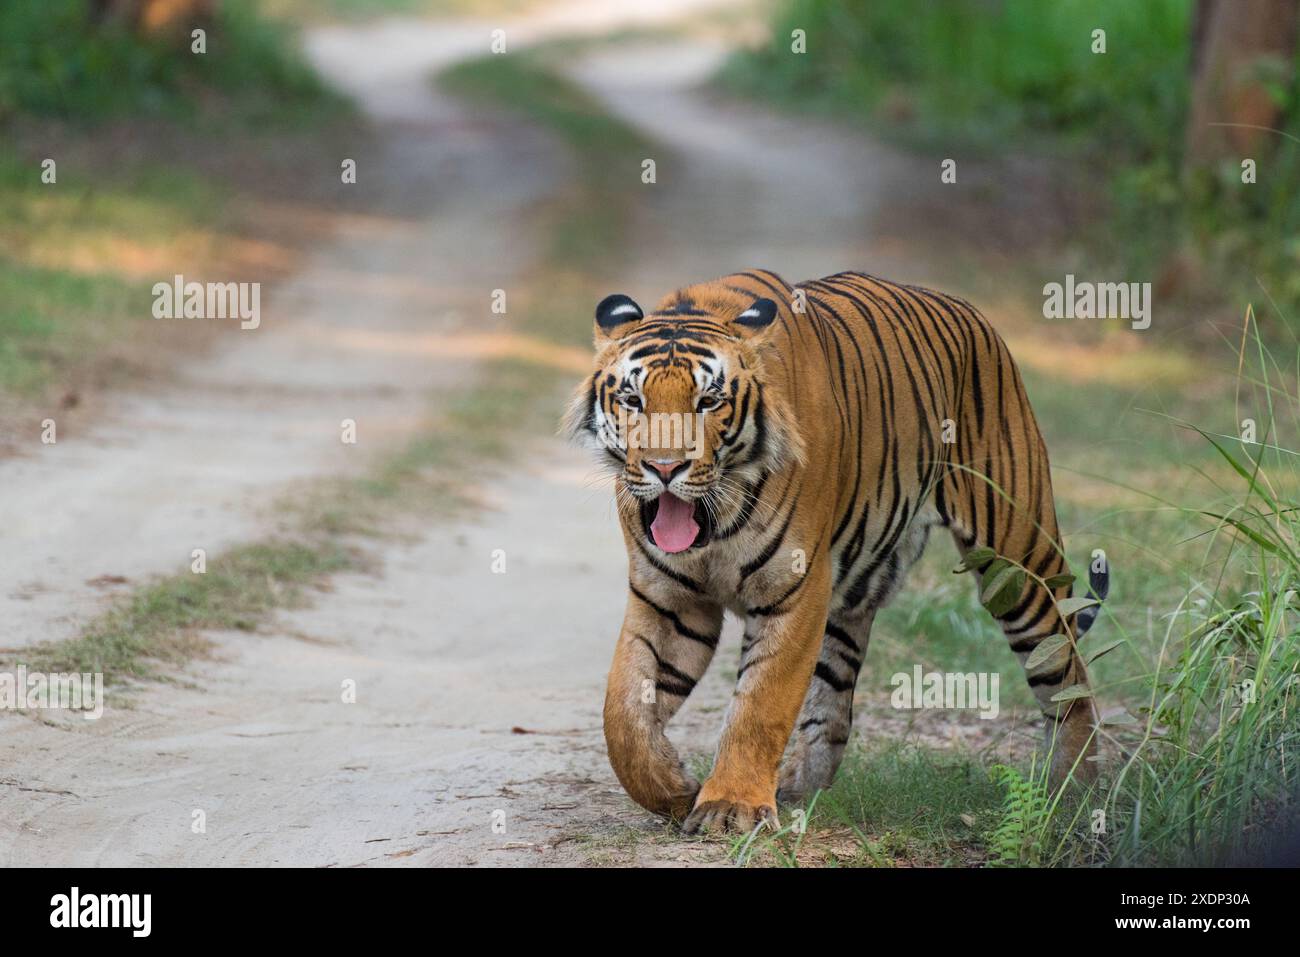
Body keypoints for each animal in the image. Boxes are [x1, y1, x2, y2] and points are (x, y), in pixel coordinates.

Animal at [563, 269, 1105, 835]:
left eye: (708, 402)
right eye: (632, 400)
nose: (665, 468)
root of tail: (970, 311)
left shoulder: (795, 590)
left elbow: (761, 705)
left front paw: (730, 807)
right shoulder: (668, 599)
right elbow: (622, 715)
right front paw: (675, 788)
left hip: (1018, 563)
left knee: (1067, 674)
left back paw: (1073, 792)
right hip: (854, 594)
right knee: (834, 700)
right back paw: (800, 787)